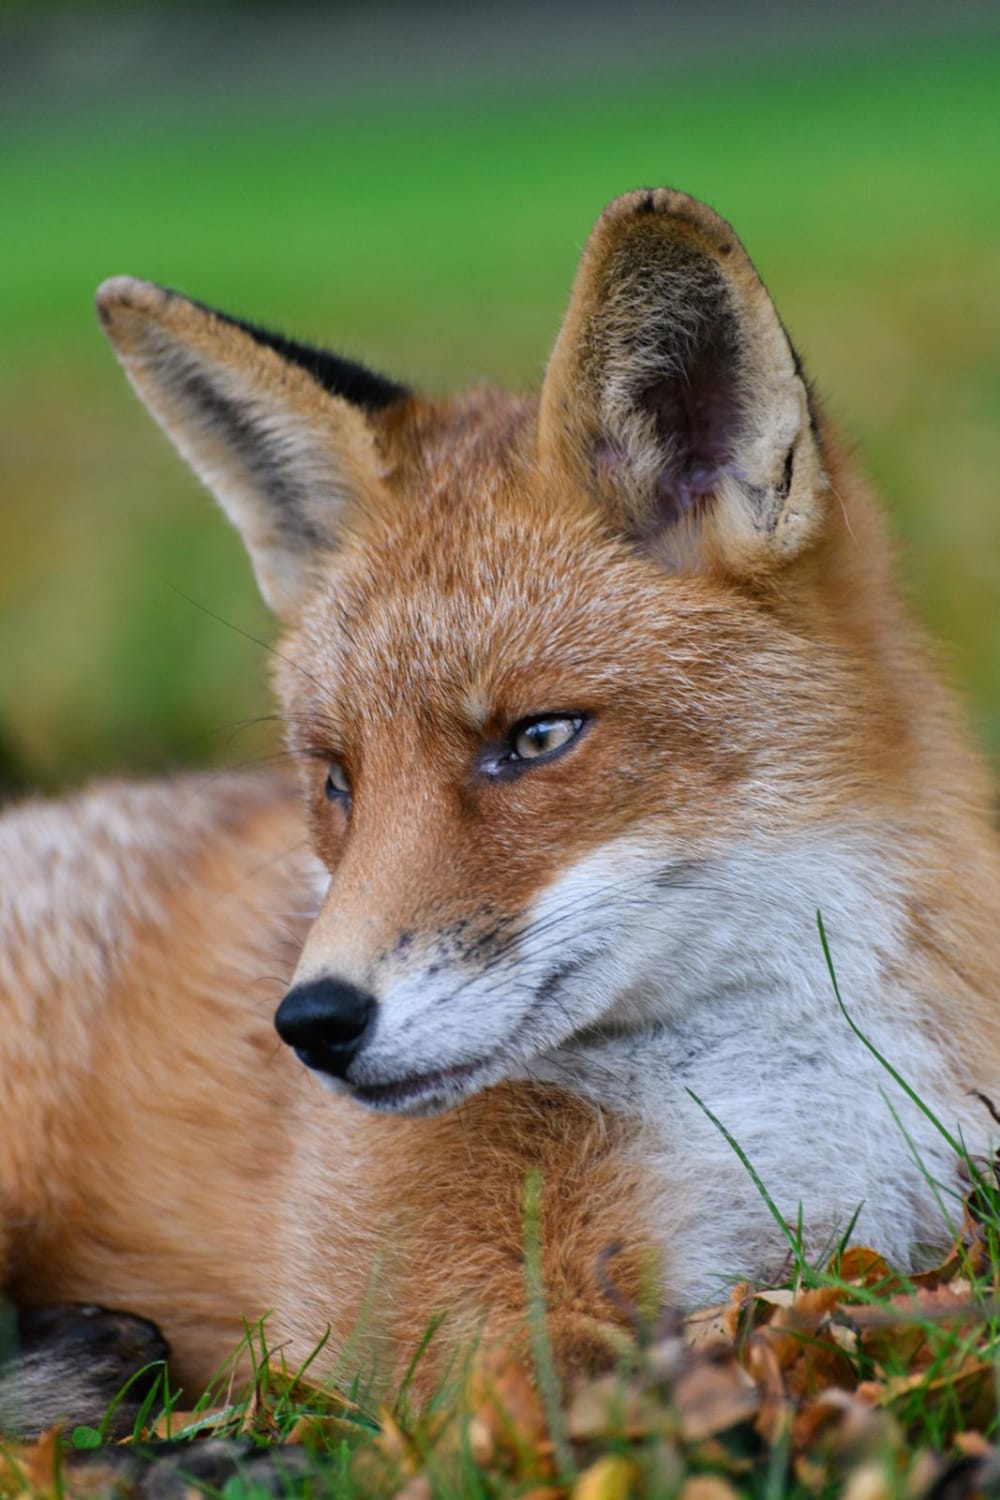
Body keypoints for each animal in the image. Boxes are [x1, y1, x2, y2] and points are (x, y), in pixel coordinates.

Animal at [2, 187, 999, 1425]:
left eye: (534, 739)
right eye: (338, 778)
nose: (311, 1025)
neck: (782, 1091)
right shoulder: (411, 1305)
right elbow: (607, 1384)